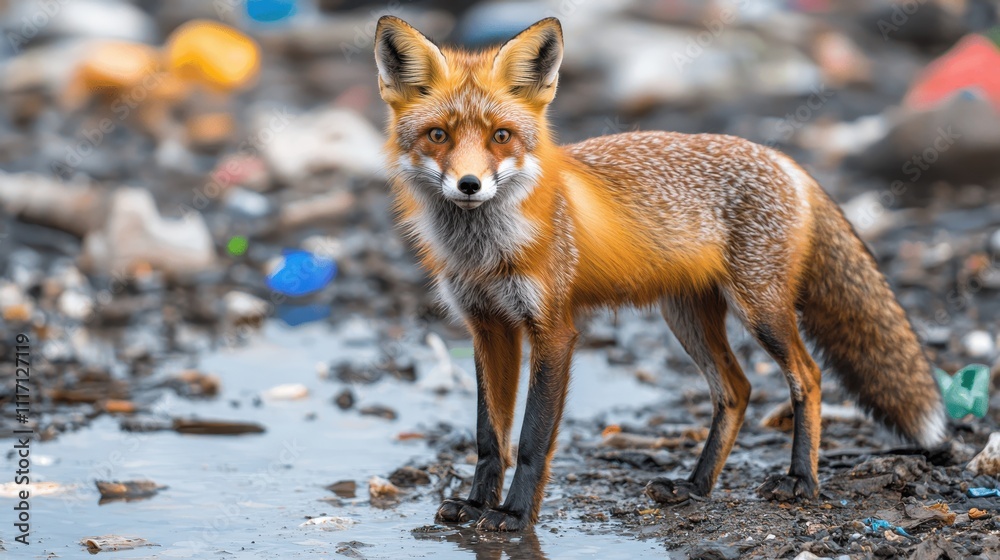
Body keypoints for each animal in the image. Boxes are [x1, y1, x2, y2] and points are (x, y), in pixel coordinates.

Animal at [374, 16, 946, 531]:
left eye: (501, 136)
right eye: (438, 135)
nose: (469, 185)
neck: (486, 251)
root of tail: (785, 160)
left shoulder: (553, 329)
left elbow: (533, 439)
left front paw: (514, 515)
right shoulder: (488, 328)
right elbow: (490, 436)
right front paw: (475, 505)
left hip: (760, 310)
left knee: (807, 376)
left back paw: (801, 481)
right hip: (686, 317)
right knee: (737, 389)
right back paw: (696, 486)